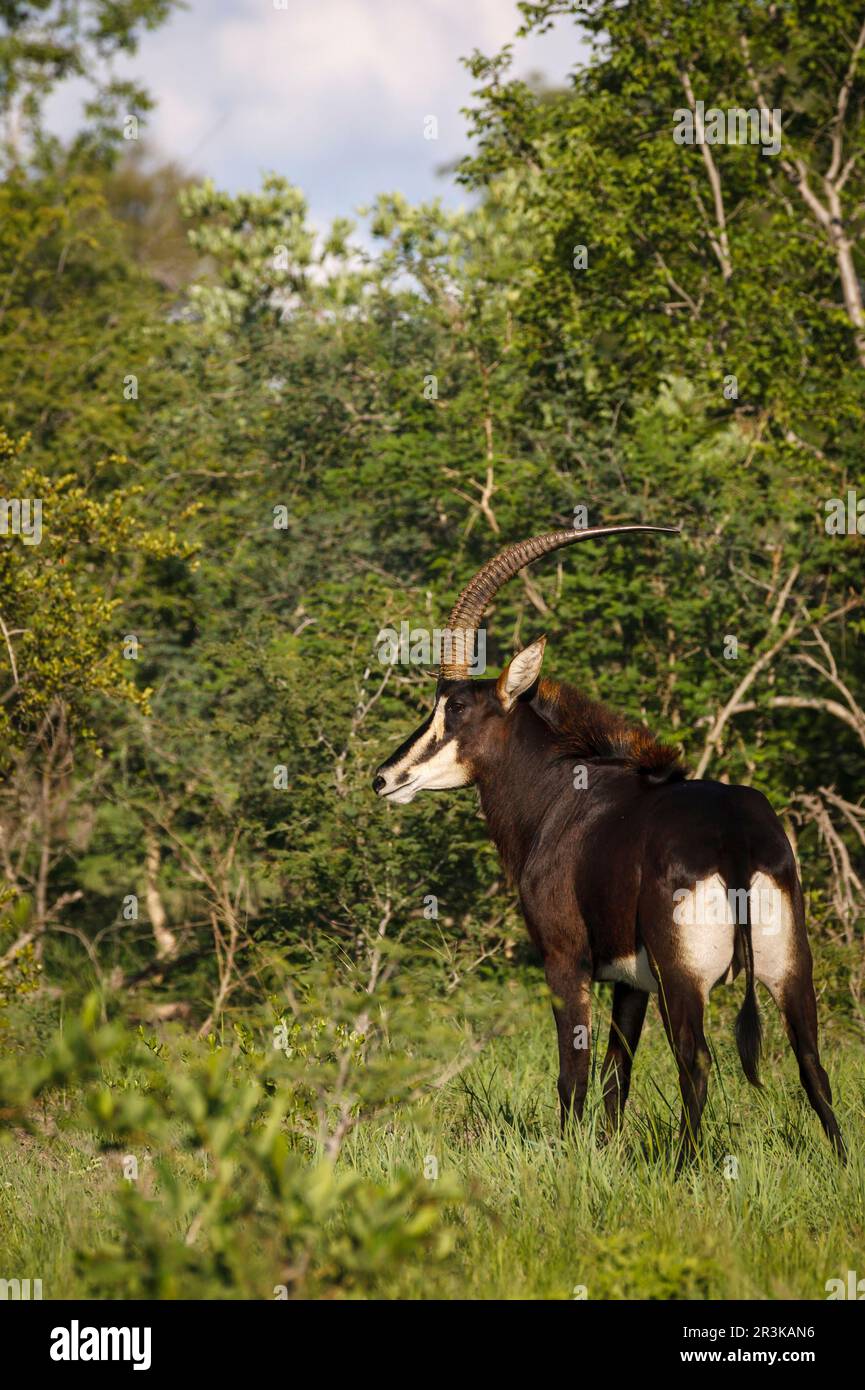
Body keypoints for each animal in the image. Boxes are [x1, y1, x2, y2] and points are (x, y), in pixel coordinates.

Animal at [372, 525, 845, 1163]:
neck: (561, 794)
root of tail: (734, 838)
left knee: (696, 1062)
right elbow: (616, 1074)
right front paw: (603, 1153)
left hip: (683, 979)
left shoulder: (565, 958)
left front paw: (570, 1157)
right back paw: (839, 1161)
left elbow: (574, 1071)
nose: (385, 779)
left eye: (458, 707)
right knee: (811, 1063)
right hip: (789, 967)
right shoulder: (629, 980)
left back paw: (684, 1166)